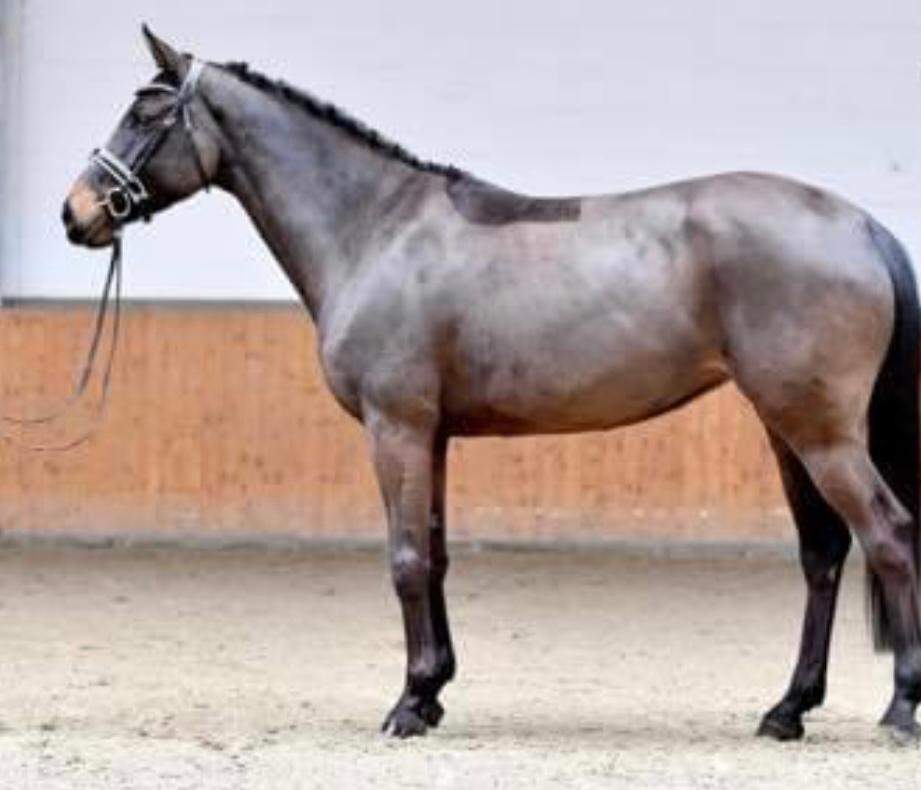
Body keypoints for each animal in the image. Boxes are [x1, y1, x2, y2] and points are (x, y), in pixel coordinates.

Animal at [62, 27, 921, 743]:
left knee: (888, 535)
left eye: (145, 112)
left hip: (819, 433)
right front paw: (434, 691)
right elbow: (436, 556)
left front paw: (408, 704)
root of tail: (856, 223)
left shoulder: (396, 428)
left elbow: (406, 558)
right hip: (786, 428)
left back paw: (899, 706)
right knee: (822, 552)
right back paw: (786, 710)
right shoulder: (432, 436)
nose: (76, 213)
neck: (375, 228)